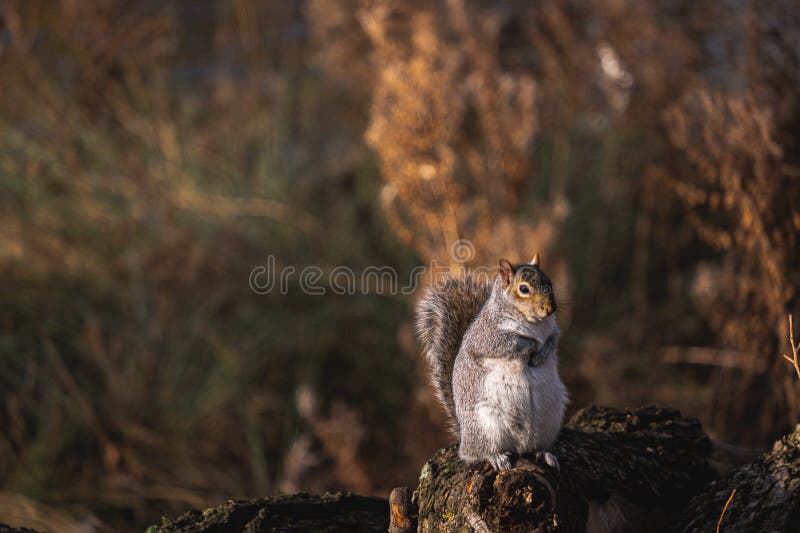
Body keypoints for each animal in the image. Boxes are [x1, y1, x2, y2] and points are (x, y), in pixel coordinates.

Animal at [415, 253, 568, 471]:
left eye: (549, 281)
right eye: (524, 289)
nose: (550, 308)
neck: (533, 323)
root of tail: (464, 439)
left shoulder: (553, 330)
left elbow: (553, 340)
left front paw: (541, 354)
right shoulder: (485, 337)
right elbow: (505, 344)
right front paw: (529, 345)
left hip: (551, 418)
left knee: (535, 447)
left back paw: (545, 453)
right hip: (487, 425)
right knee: (478, 454)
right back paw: (497, 457)